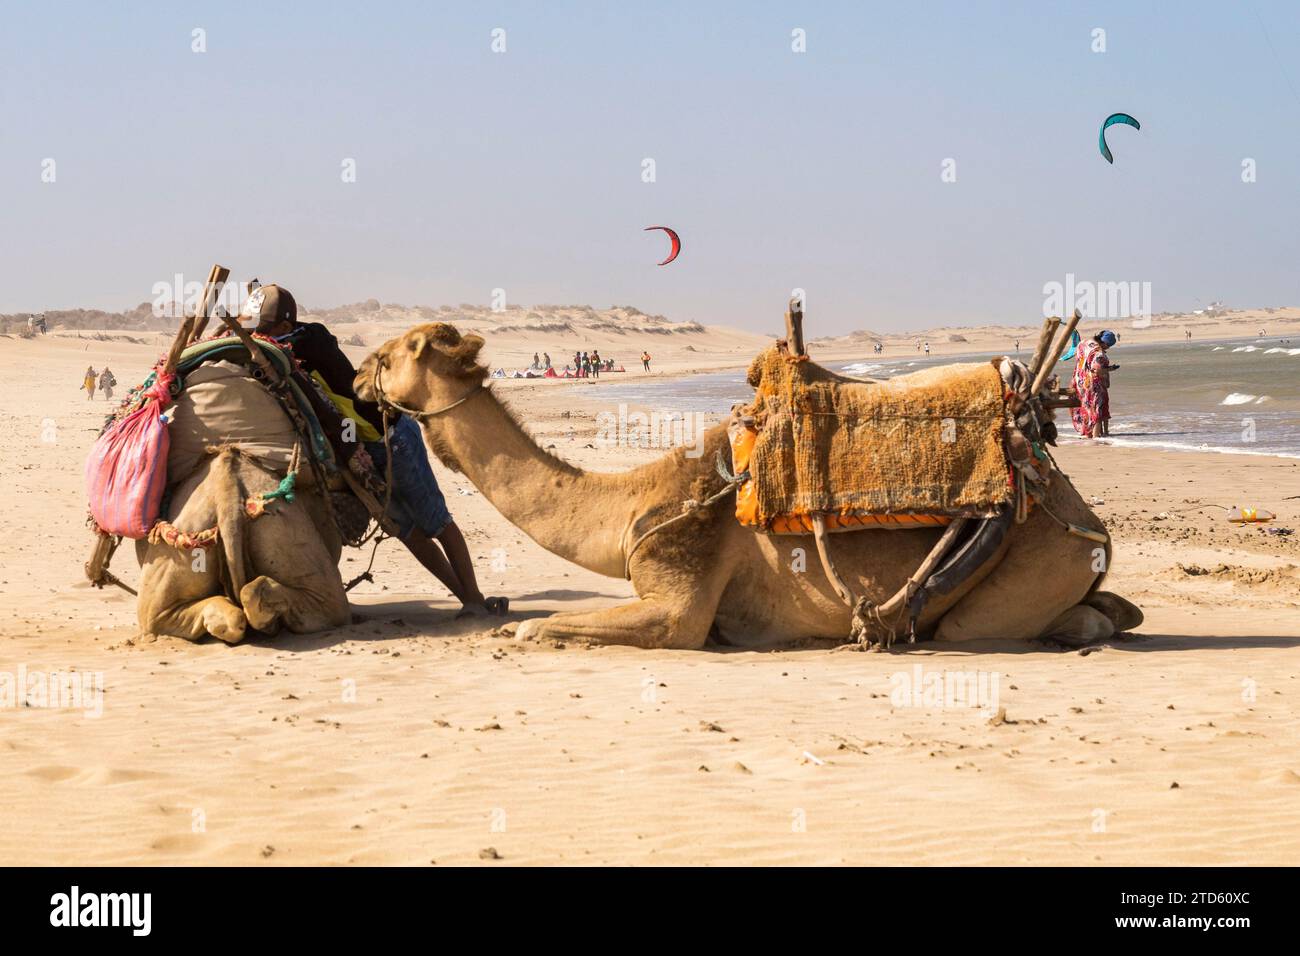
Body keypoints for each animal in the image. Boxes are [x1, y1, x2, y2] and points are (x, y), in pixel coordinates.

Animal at [355, 323, 1143, 650]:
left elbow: (536, 626)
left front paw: (514, 624)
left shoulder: (679, 593)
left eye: (394, 354)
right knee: (1113, 607)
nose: (357, 377)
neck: (632, 502)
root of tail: (1090, 522)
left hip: (1028, 568)